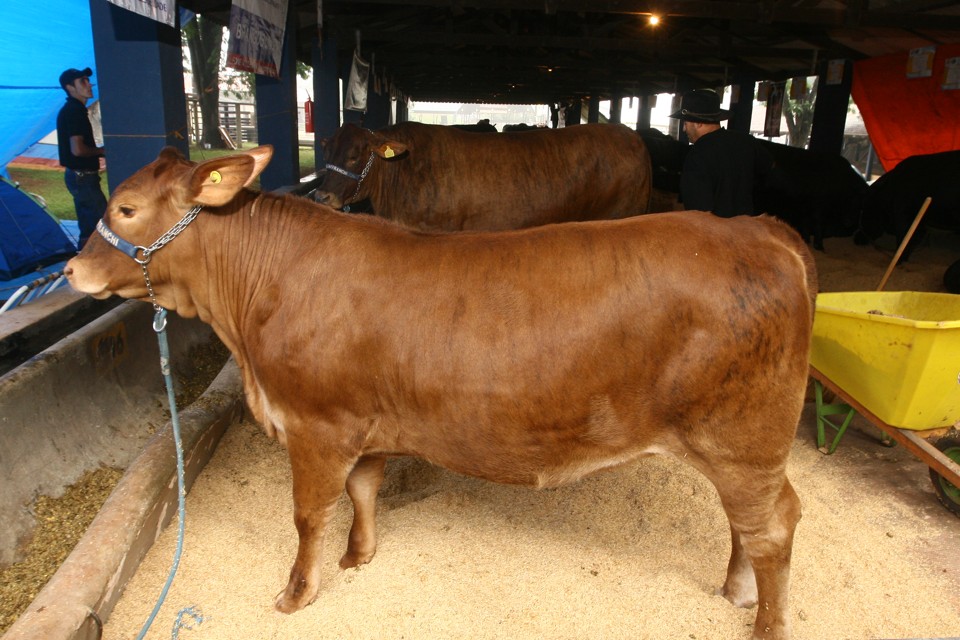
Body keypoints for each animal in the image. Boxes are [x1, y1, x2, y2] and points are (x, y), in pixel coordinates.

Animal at [65, 145, 817, 640]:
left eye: (125, 207)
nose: (71, 270)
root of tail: (758, 227)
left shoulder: (315, 425)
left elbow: (309, 515)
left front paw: (296, 593)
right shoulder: (363, 422)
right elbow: (364, 489)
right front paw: (358, 558)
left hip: (742, 440)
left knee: (775, 525)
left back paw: (766, 624)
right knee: (750, 527)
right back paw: (735, 592)